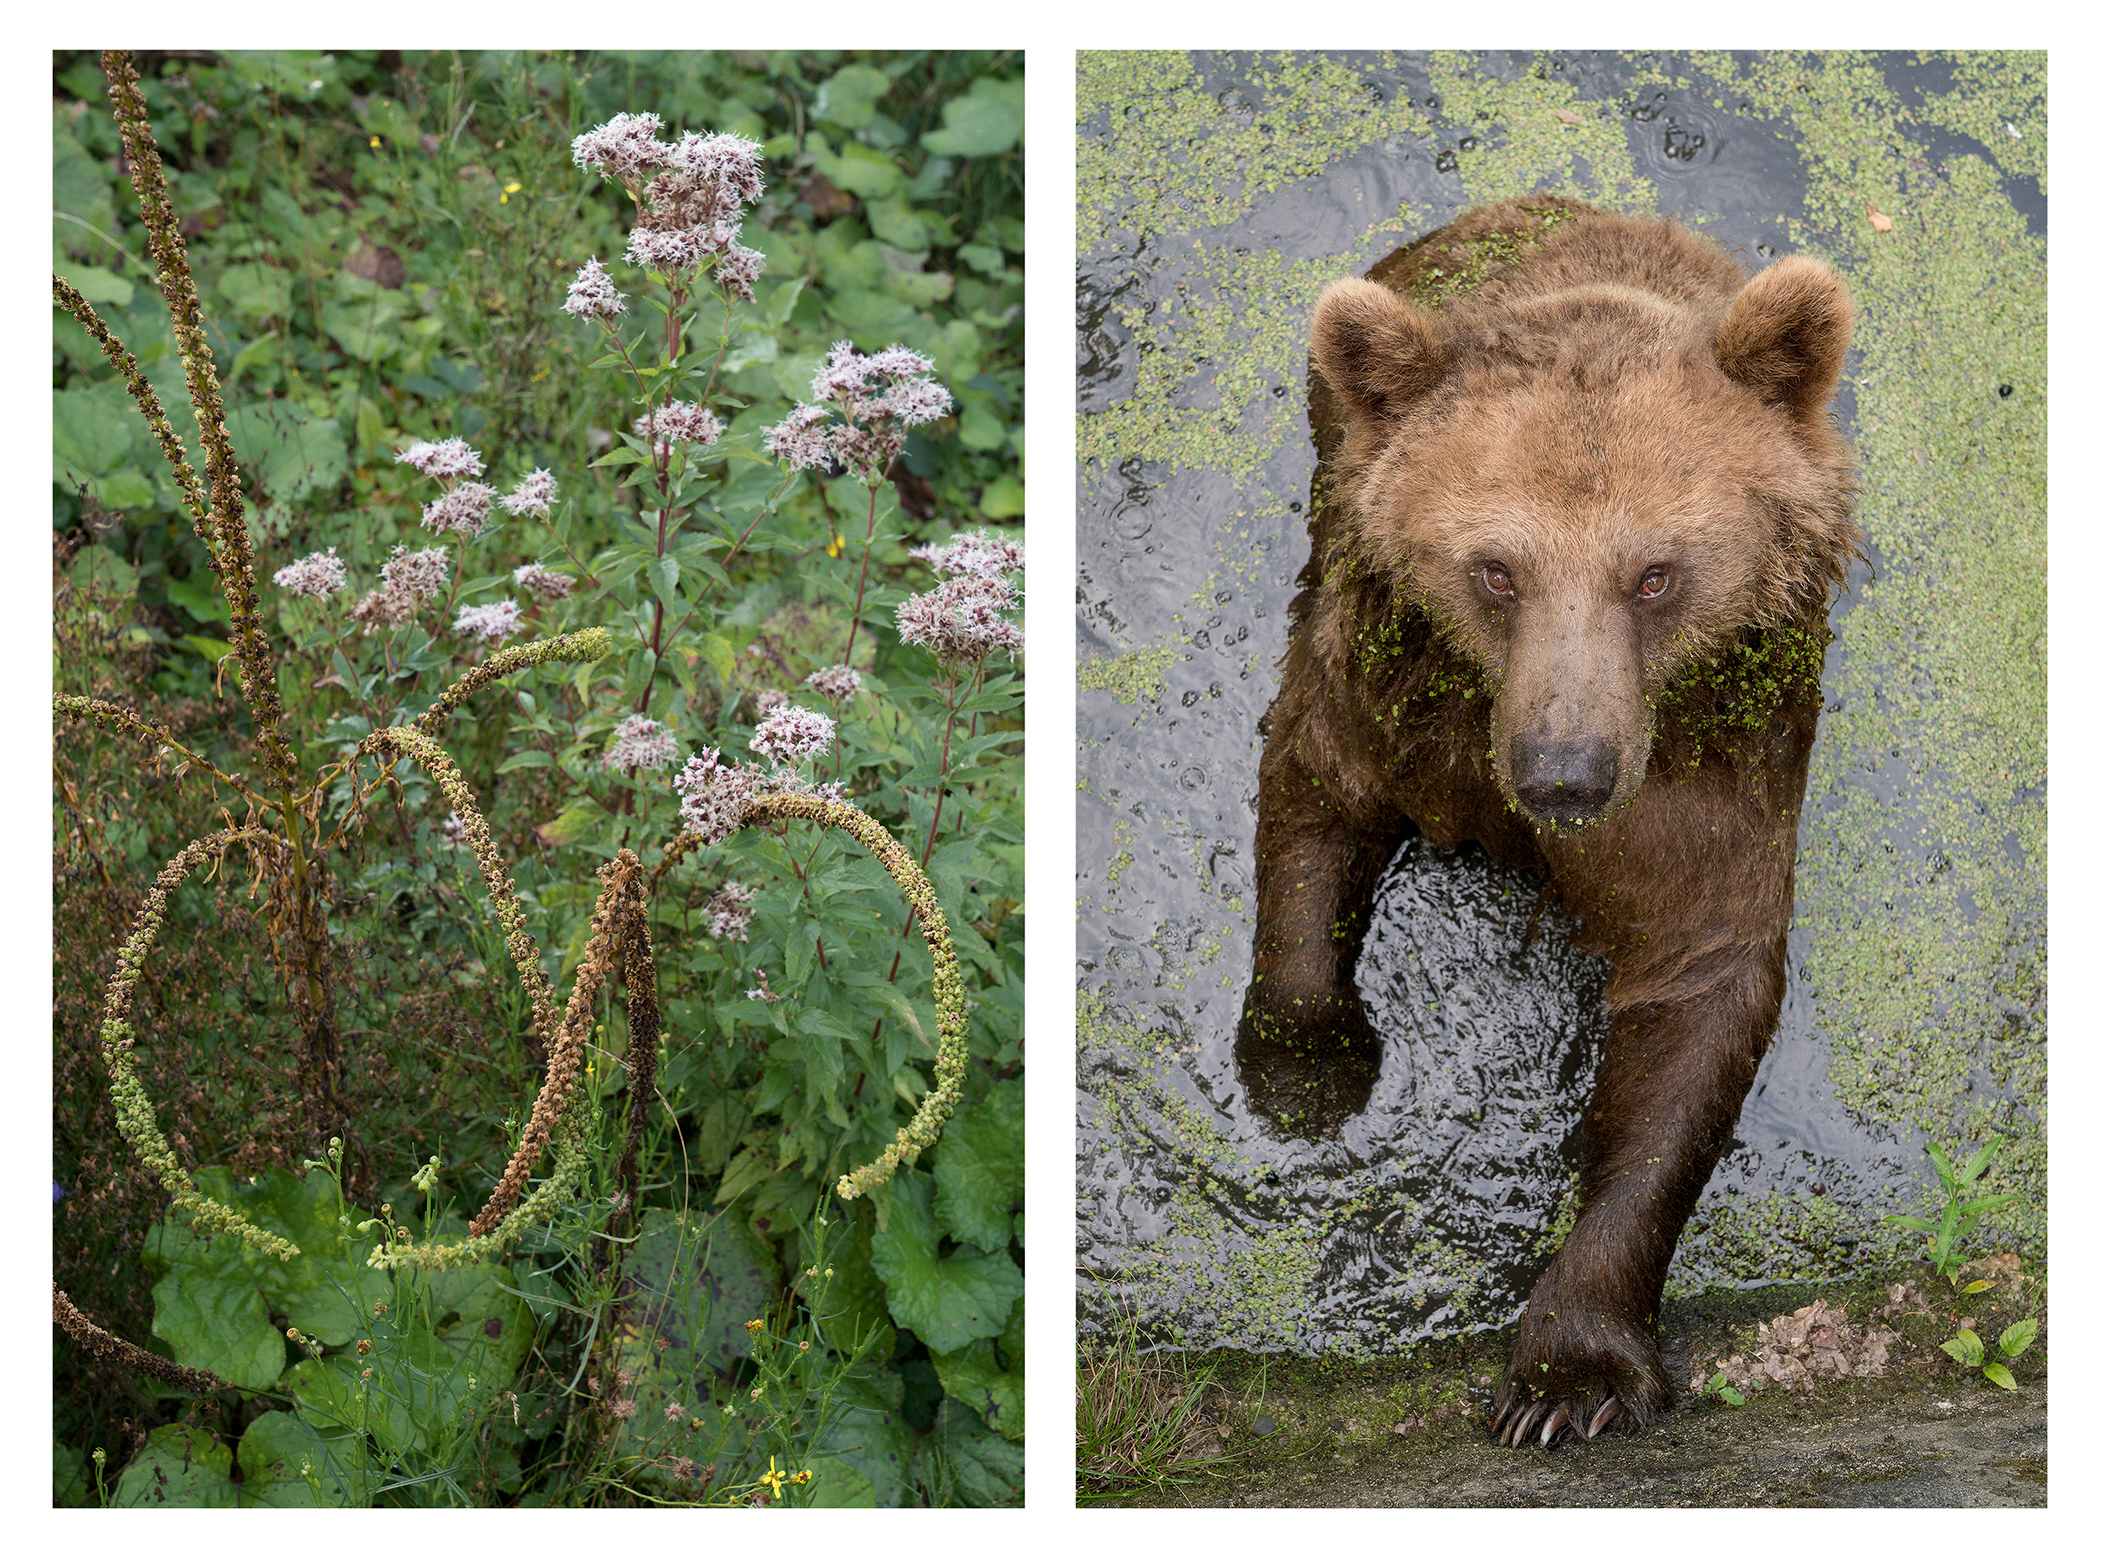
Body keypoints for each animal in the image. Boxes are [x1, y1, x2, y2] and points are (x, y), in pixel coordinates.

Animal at [1234, 195, 1861, 1447]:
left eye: (1655, 572)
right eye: (1495, 570)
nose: (1563, 772)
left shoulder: (1706, 771)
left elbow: (1691, 995)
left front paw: (1567, 1373)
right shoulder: (1387, 692)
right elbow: (1313, 801)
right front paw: (1308, 1063)